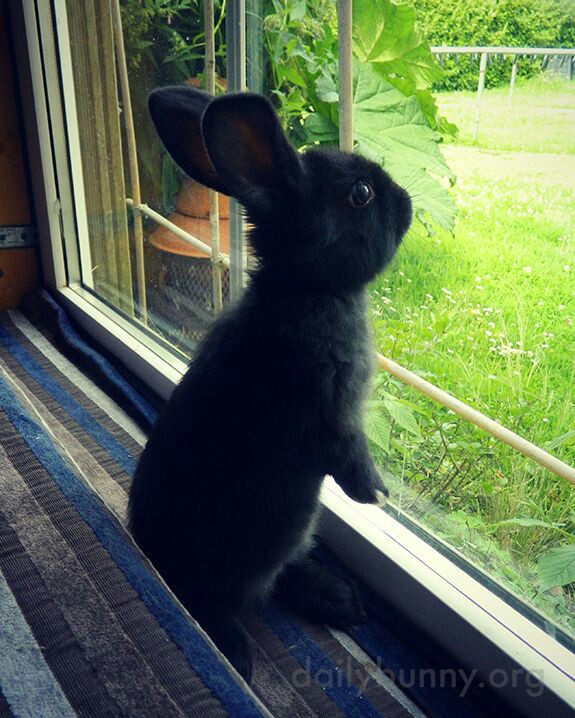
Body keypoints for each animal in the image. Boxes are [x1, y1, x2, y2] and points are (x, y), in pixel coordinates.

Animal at [128, 86, 412, 682]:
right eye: (361, 194)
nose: (407, 202)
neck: (307, 288)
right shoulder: (332, 407)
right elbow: (350, 452)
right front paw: (375, 494)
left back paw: (340, 601)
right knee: (221, 602)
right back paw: (237, 652)